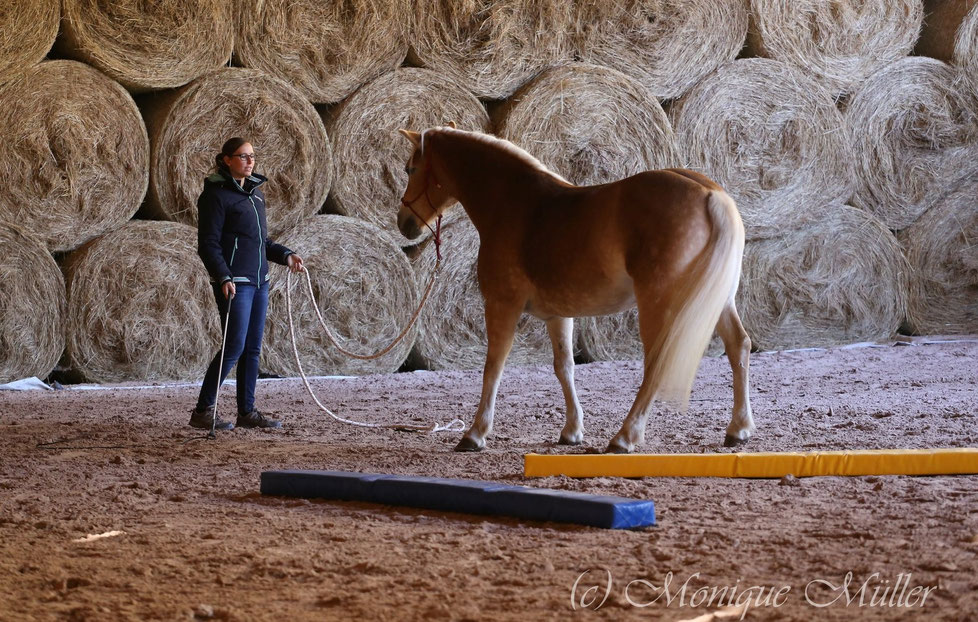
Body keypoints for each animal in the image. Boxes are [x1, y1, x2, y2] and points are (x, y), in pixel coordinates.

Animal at [397, 126, 753, 453]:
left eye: (410, 169)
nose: (404, 223)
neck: (515, 204)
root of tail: (709, 194)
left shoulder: (501, 305)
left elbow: (493, 368)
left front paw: (476, 433)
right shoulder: (558, 315)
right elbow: (564, 368)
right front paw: (572, 431)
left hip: (658, 304)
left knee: (657, 363)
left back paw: (624, 437)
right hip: (718, 301)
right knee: (739, 346)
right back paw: (739, 428)